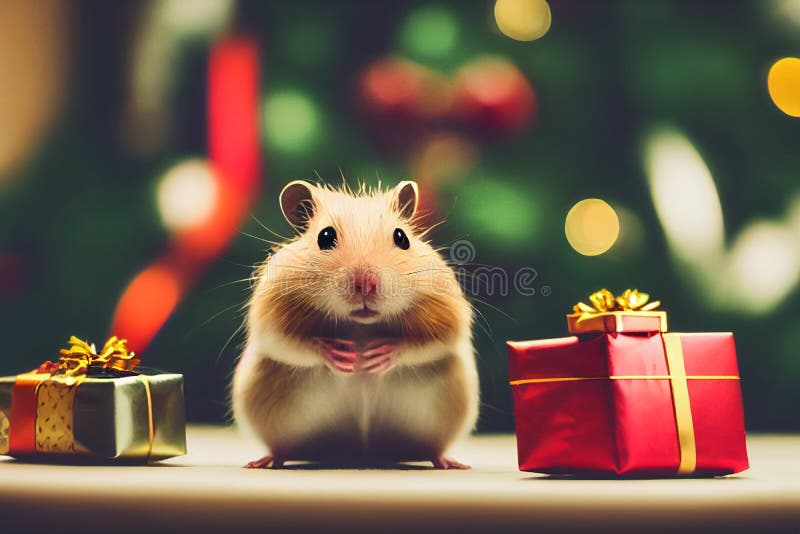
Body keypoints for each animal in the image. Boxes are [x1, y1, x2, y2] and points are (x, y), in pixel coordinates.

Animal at [231, 180, 479, 469]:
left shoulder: (447, 311)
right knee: (280, 450)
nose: (366, 284)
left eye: (401, 238)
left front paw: (374, 356)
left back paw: (450, 463)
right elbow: (289, 342)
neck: (361, 323)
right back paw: (263, 462)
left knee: (434, 450)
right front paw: (344, 356)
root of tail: (360, 453)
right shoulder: (269, 313)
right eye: (325, 237)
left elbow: (431, 341)